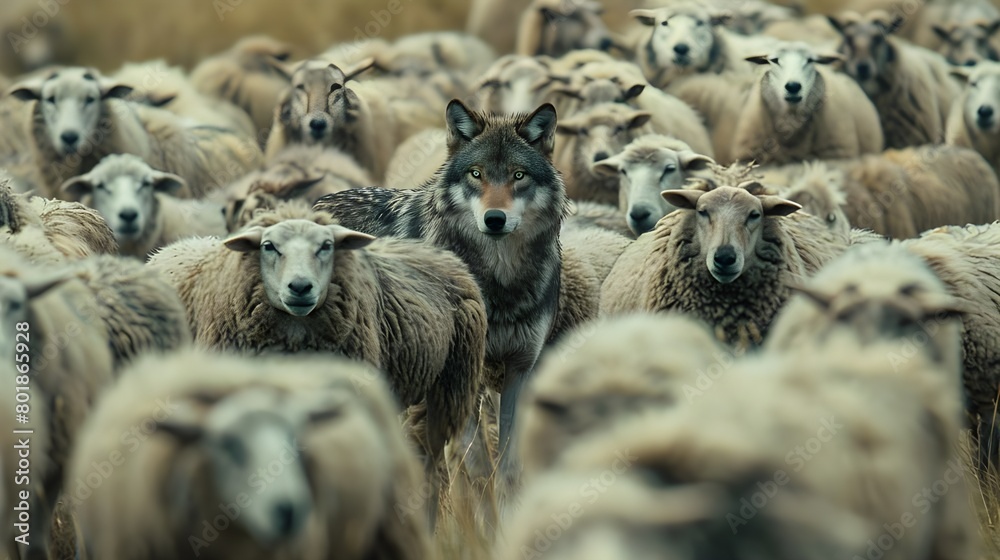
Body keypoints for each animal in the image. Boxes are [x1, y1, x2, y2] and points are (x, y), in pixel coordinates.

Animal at [313, 99, 568, 479]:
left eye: (518, 175)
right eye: (476, 174)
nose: (495, 219)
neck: (500, 283)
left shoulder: (521, 368)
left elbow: (507, 464)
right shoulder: (462, 374)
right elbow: (475, 461)